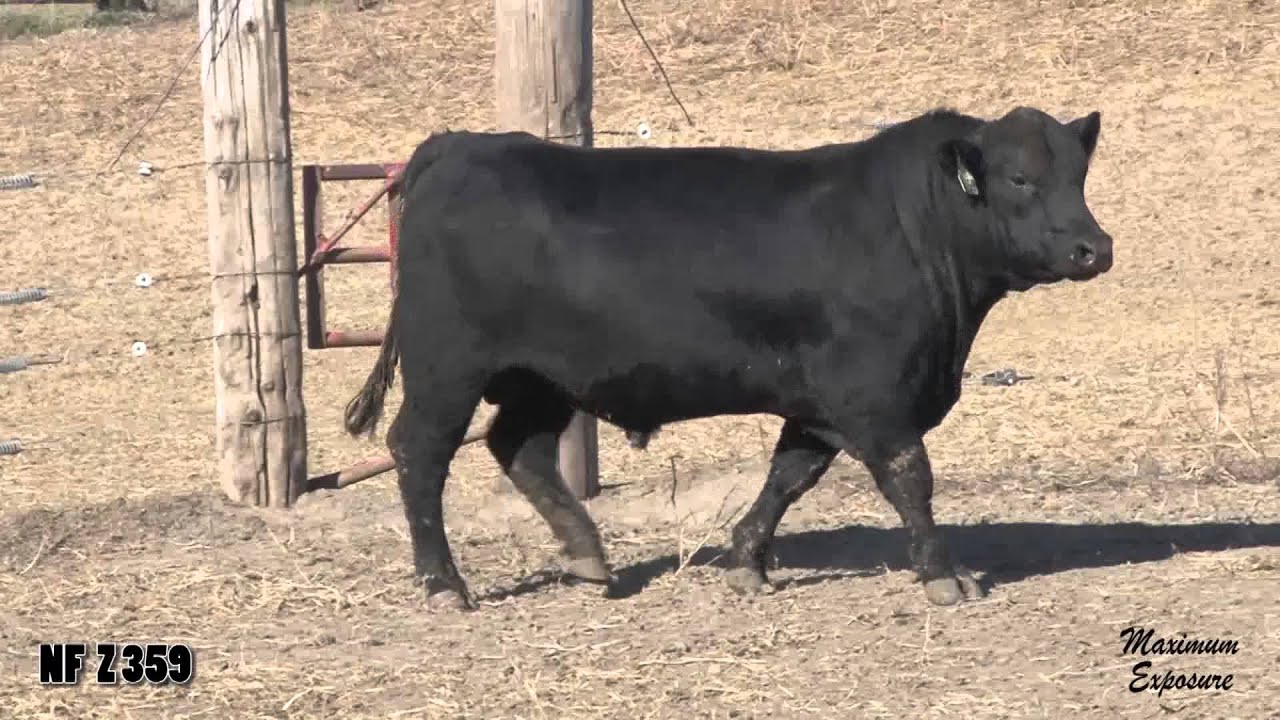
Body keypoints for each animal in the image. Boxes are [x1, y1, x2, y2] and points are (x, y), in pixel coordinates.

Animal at [343, 106, 1113, 611]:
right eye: (1019, 179)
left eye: (1079, 176)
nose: (1093, 248)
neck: (912, 227)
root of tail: (460, 145)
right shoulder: (875, 398)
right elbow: (910, 480)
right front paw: (943, 576)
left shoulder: (820, 403)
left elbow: (790, 476)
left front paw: (746, 560)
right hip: (447, 370)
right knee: (419, 452)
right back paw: (444, 583)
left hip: (539, 379)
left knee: (520, 449)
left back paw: (589, 555)